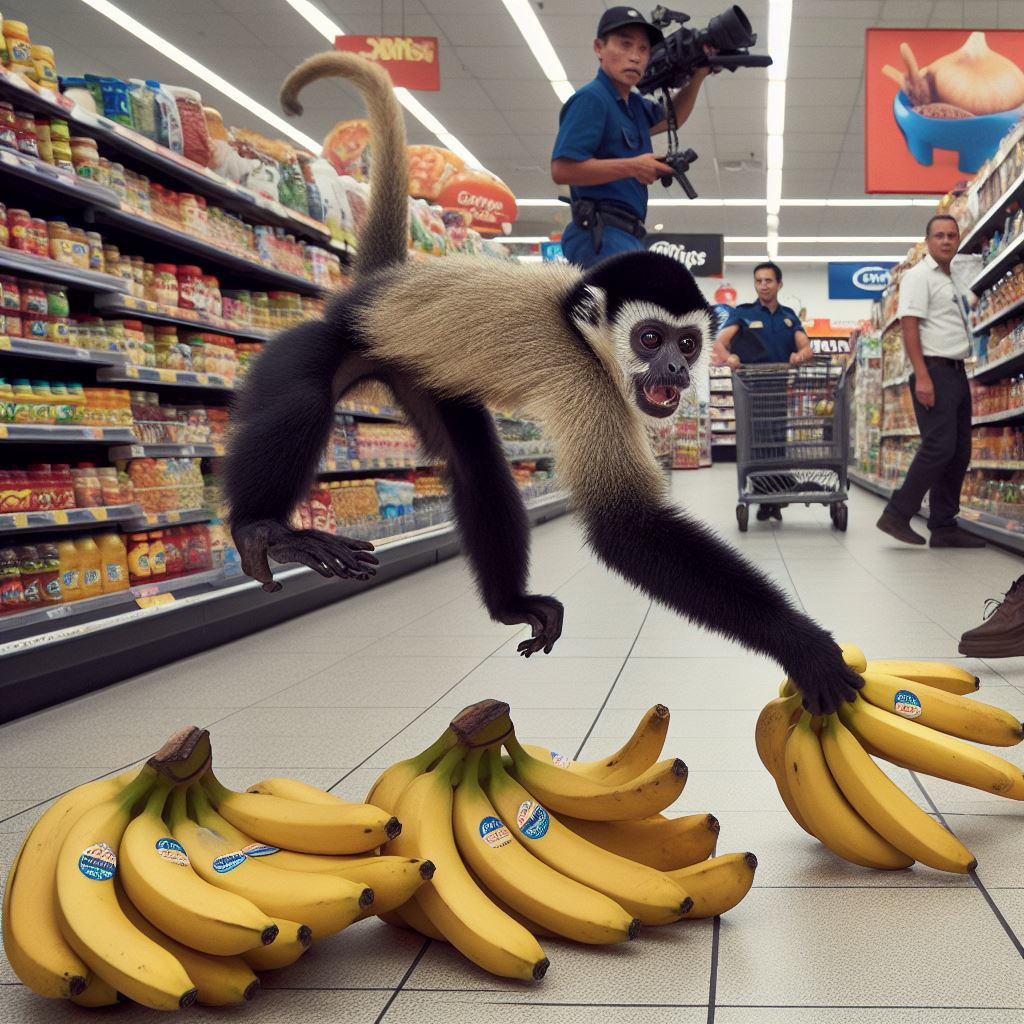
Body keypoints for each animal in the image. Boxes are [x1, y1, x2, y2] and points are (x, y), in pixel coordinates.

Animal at [222, 51, 862, 716]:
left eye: (687, 345)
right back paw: (261, 529)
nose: (677, 371)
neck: (584, 329)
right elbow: (624, 525)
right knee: (302, 395)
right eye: (651, 340)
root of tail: (380, 290)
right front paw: (800, 643)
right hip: (328, 338)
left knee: (476, 464)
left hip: (418, 369)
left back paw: (510, 604)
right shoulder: (587, 383)